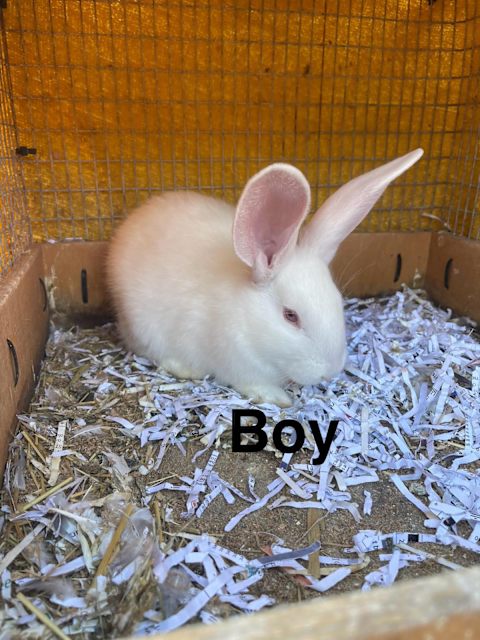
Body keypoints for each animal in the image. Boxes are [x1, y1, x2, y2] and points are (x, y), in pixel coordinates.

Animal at [106, 148, 423, 407]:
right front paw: (279, 398)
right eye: (290, 316)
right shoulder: (239, 365)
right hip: (143, 327)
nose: (330, 371)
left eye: (339, 302)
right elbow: (253, 384)